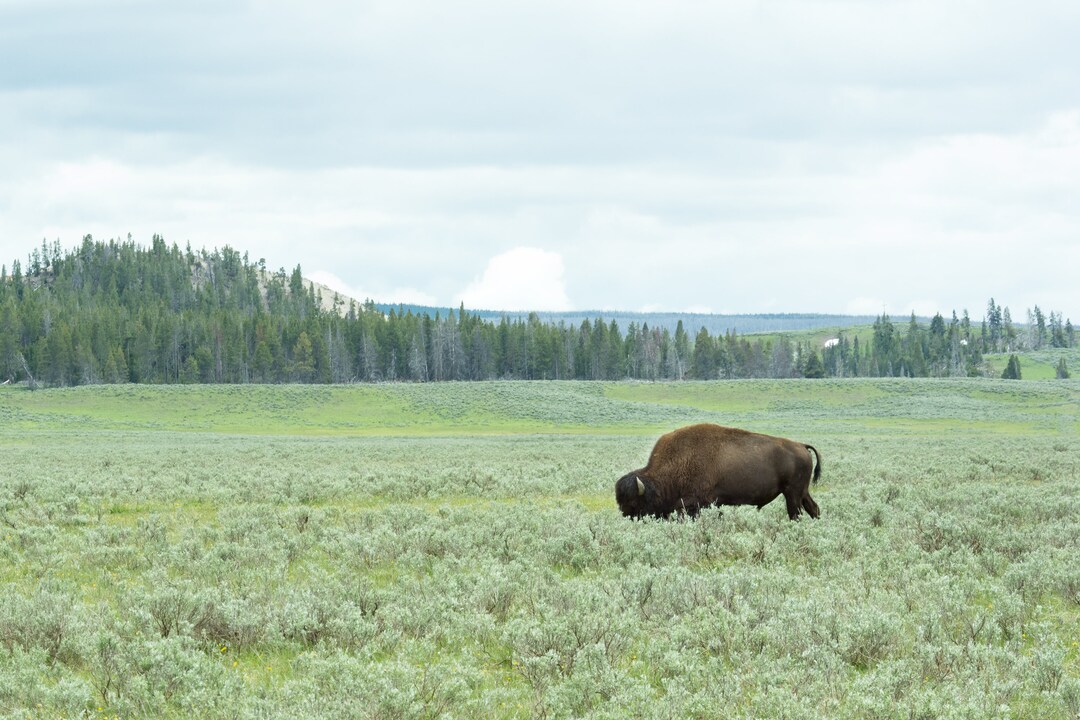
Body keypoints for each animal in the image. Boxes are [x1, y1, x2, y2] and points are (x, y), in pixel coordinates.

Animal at [615, 423, 821, 520]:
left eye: (635, 503)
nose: (628, 520)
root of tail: (801, 446)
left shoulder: (692, 505)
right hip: (801, 492)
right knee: (813, 508)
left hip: (792, 493)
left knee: (796, 513)